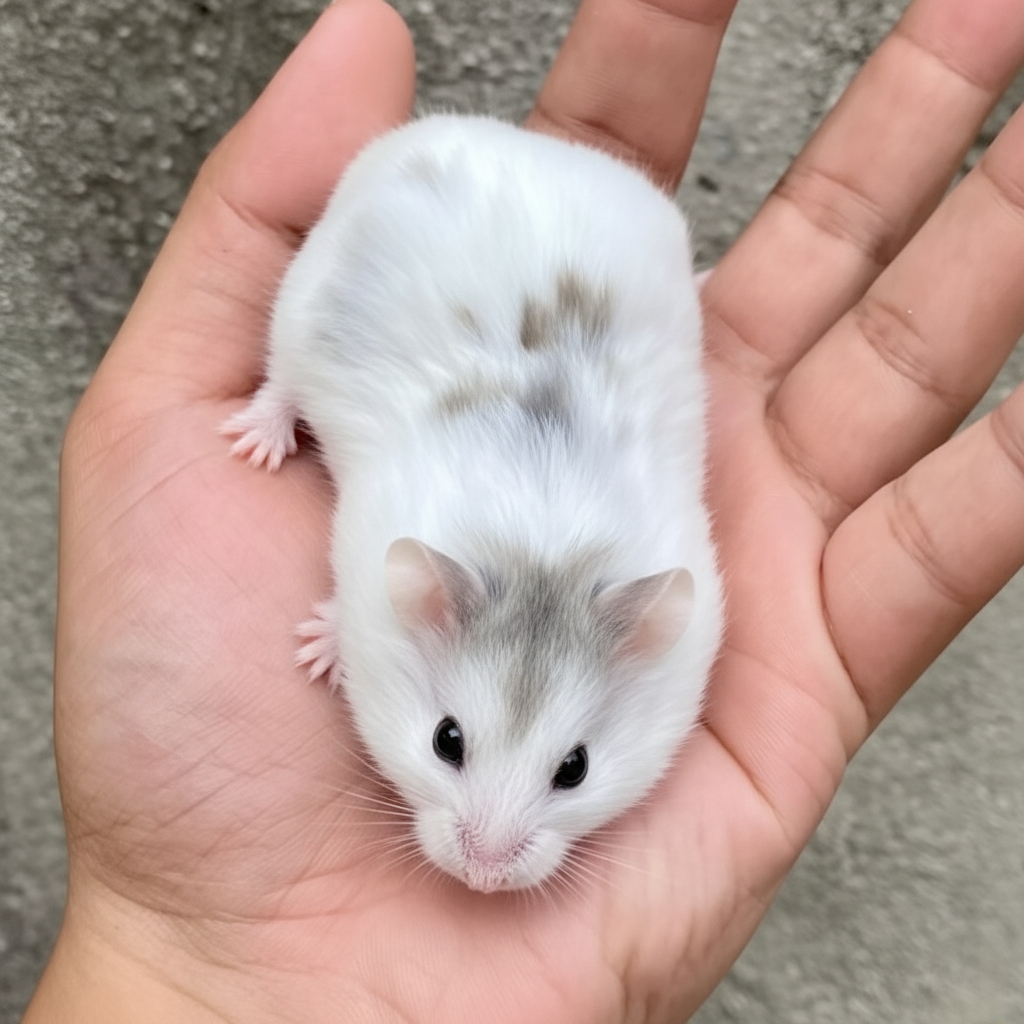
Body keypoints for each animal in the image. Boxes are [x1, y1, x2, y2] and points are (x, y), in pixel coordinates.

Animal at [222, 115, 723, 892]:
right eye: (445, 741)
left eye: (575, 769)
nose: (483, 878)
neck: (545, 544)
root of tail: (520, 139)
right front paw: (315, 653)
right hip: (299, 304)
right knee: (279, 381)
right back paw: (255, 445)